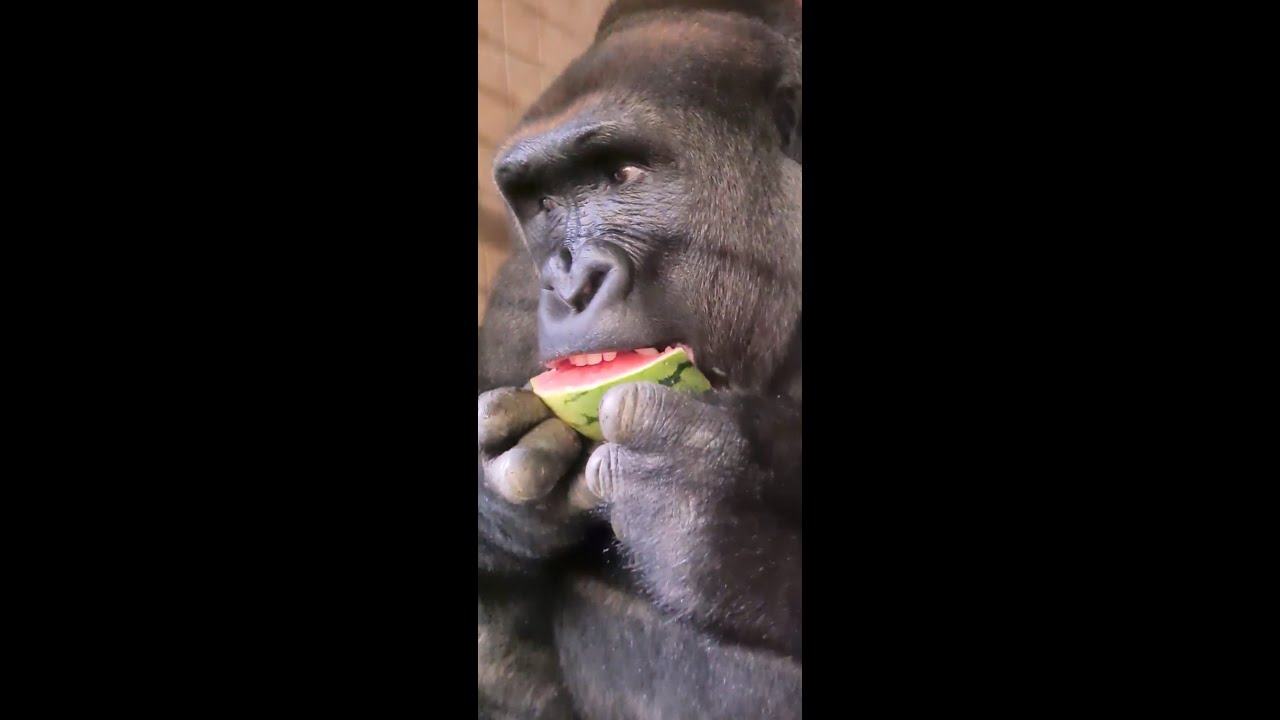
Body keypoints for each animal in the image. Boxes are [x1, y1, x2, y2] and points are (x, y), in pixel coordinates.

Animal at [478, 2, 801, 717]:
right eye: (545, 201)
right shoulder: (515, 284)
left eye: (623, 175)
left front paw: (728, 506)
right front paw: (503, 503)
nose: (571, 283)